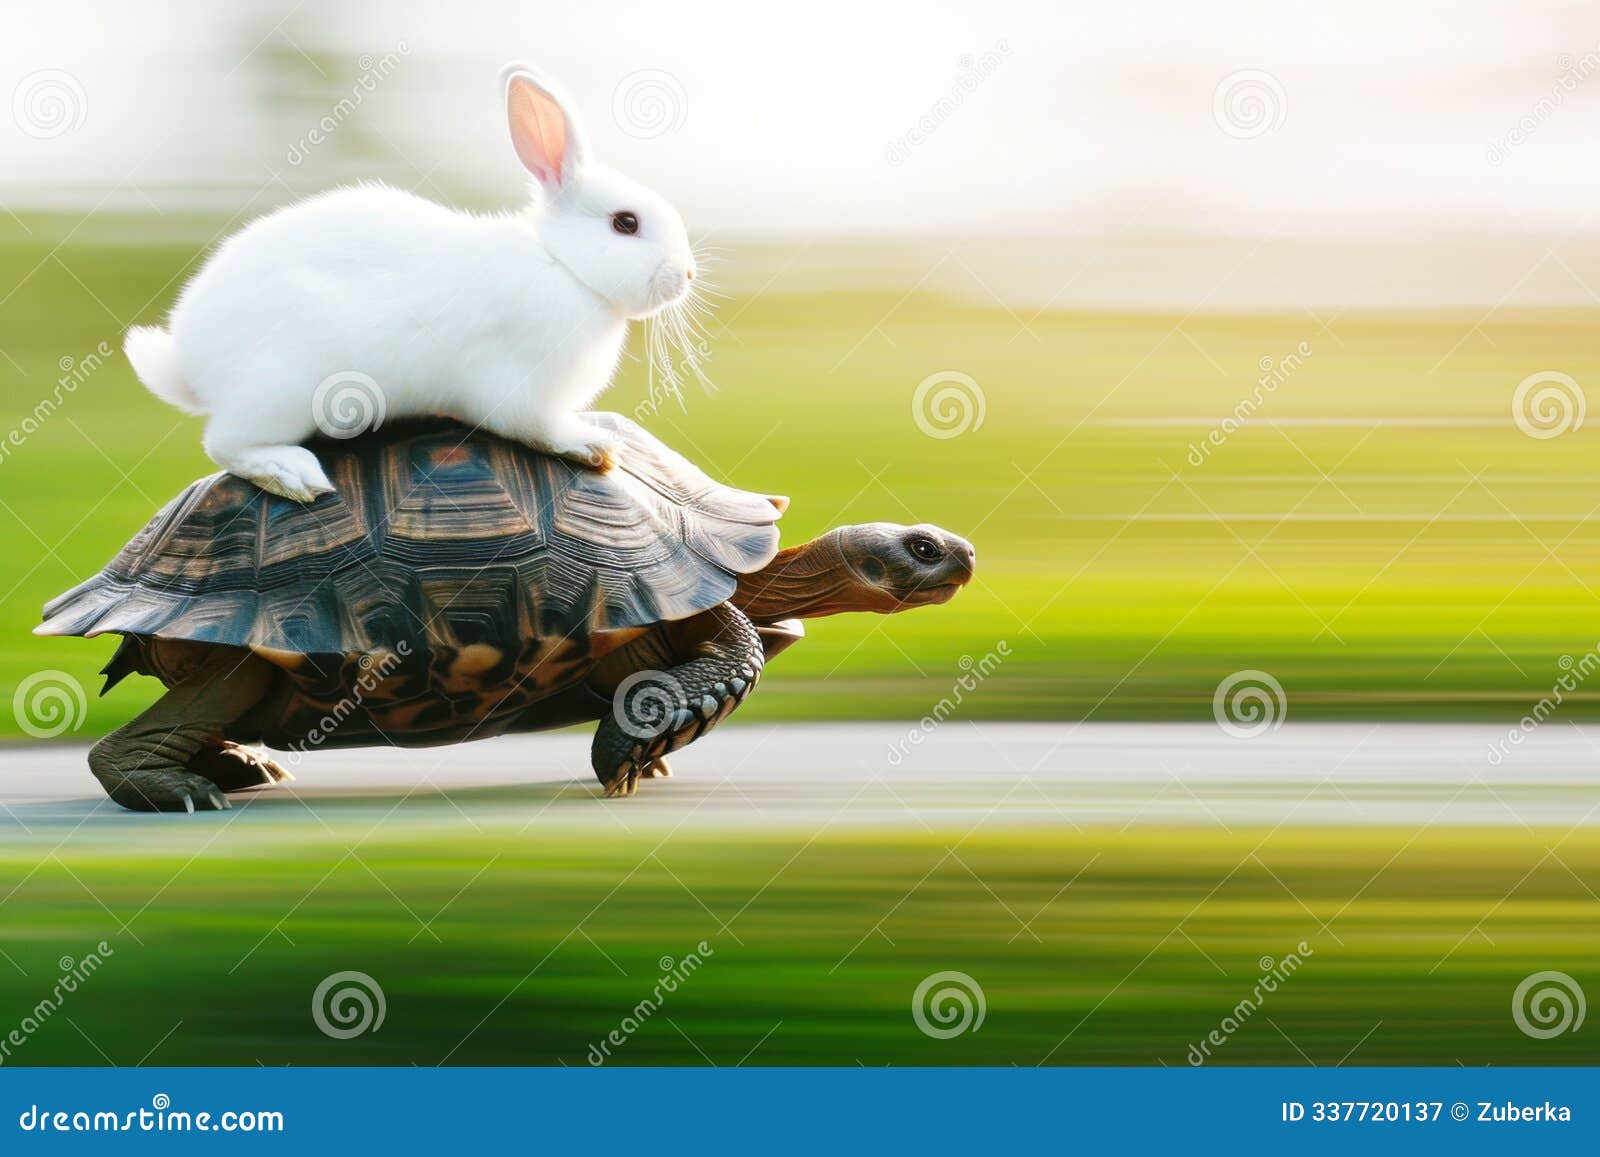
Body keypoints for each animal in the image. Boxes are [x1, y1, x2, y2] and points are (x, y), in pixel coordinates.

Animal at [123, 64, 699, 502]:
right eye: (626, 223)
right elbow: (539, 429)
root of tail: (191, 368)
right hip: (281, 389)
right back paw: (293, 475)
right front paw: (592, 445)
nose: (687, 274)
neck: (562, 264)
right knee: (225, 444)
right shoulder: (522, 393)